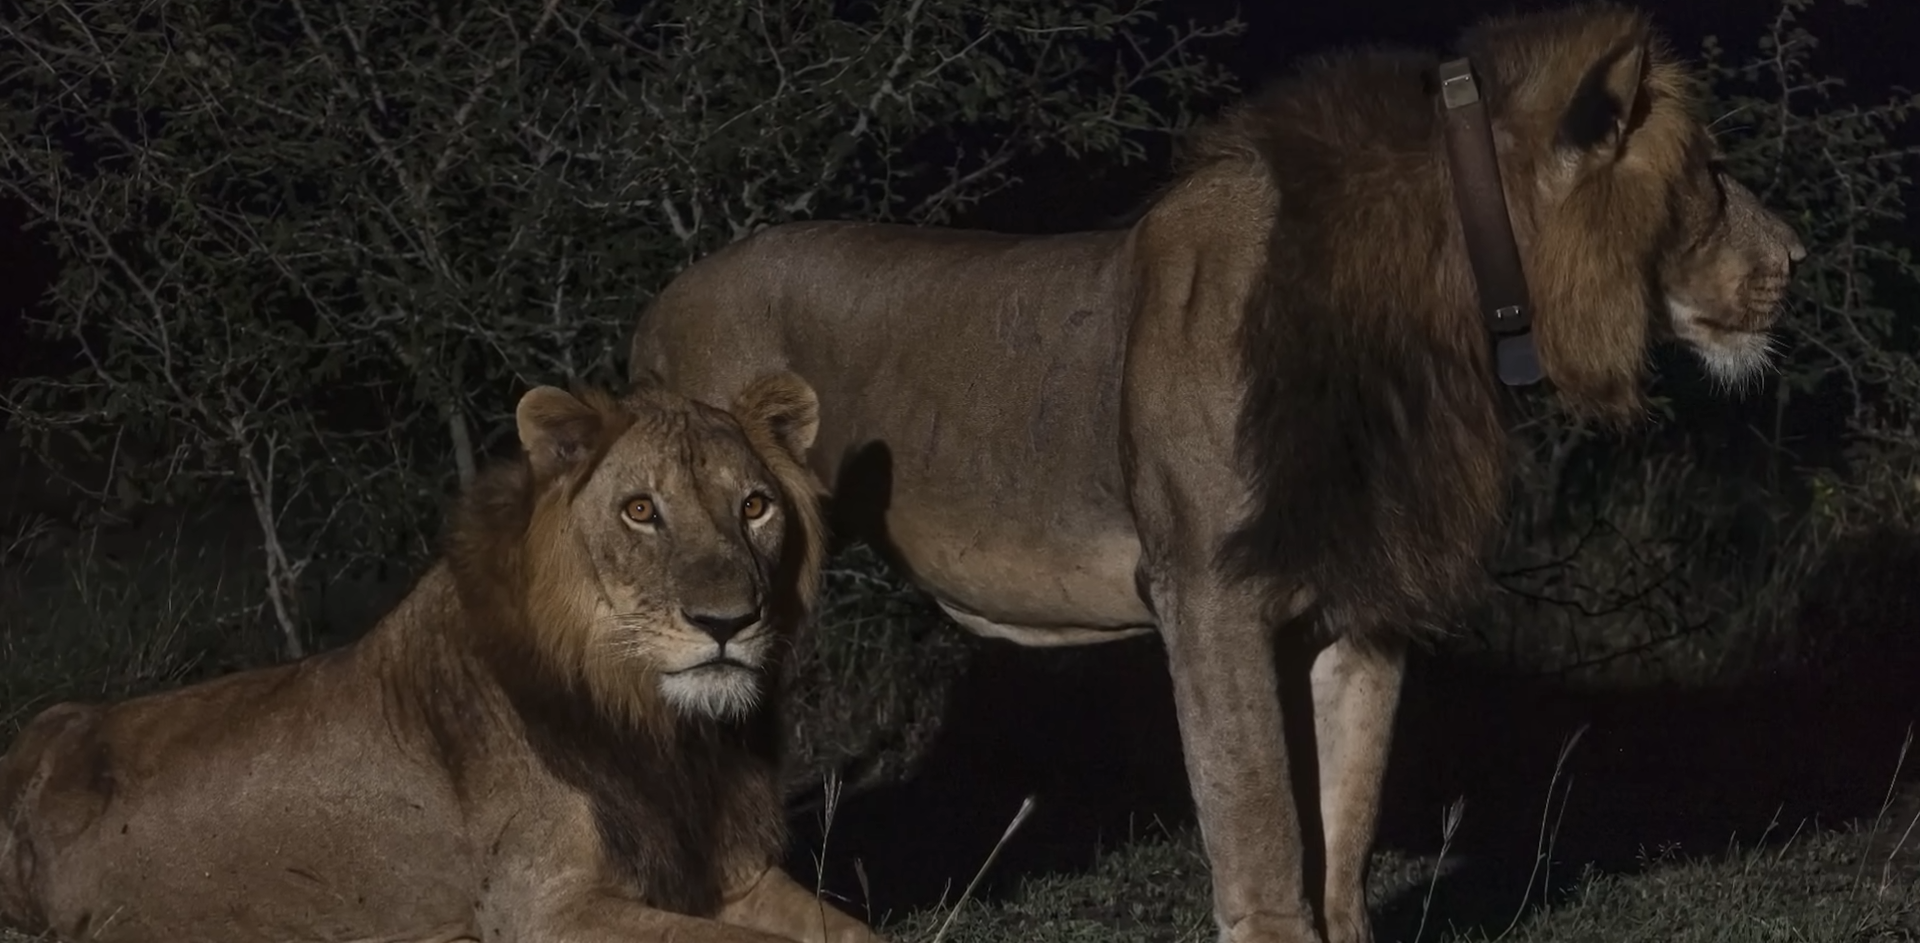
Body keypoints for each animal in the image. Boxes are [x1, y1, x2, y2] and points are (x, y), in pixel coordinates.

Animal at [0, 374, 887, 943]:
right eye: (641, 510)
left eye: (755, 505)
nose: (728, 622)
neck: (664, 728)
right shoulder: (540, 907)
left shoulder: (728, 872)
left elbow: (850, 935)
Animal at [625, 5, 1806, 943]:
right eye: (1708, 173)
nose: (1795, 259)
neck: (1440, 317)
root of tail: (664, 301)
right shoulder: (1207, 591)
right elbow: (1261, 819)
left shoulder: (1364, 597)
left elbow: (1345, 821)